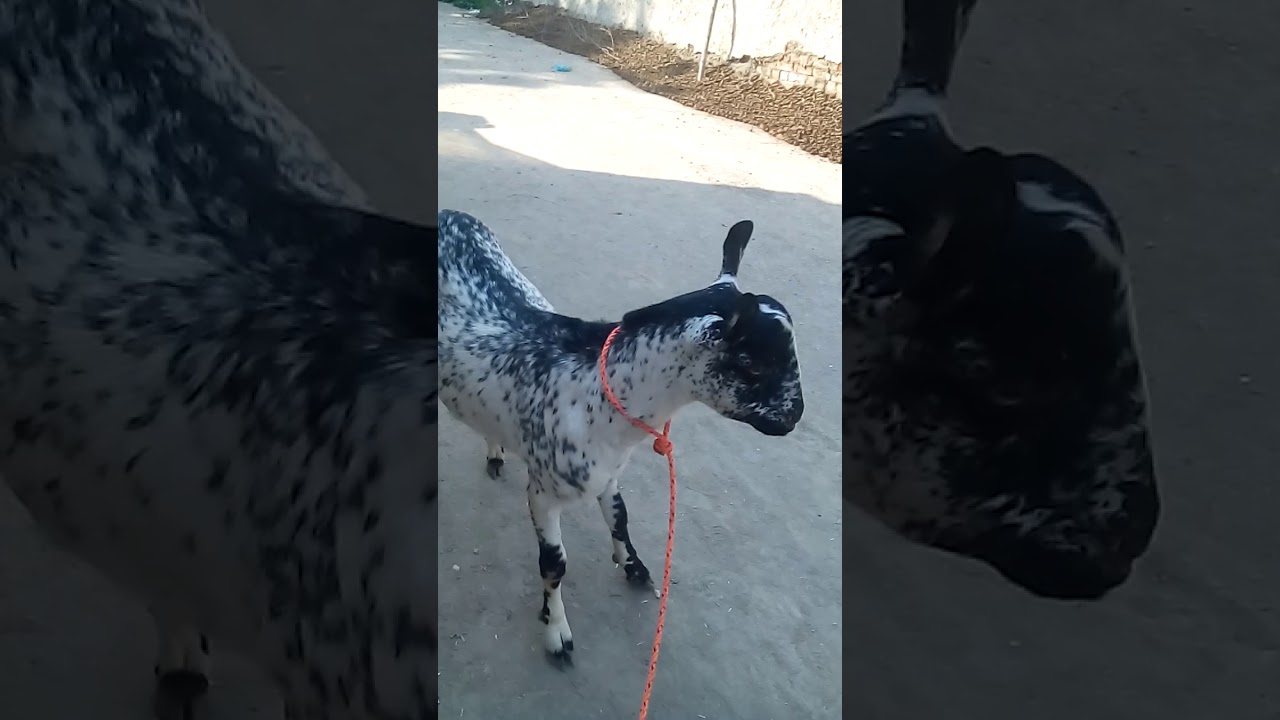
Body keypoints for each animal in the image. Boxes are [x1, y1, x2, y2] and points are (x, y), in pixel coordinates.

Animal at [437, 210, 804, 662]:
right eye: (753, 365)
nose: (794, 416)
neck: (594, 394)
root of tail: (448, 214)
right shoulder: (543, 493)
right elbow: (554, 564)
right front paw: (556, 631)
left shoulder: (609, 473)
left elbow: (619, 517)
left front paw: (634, 567)